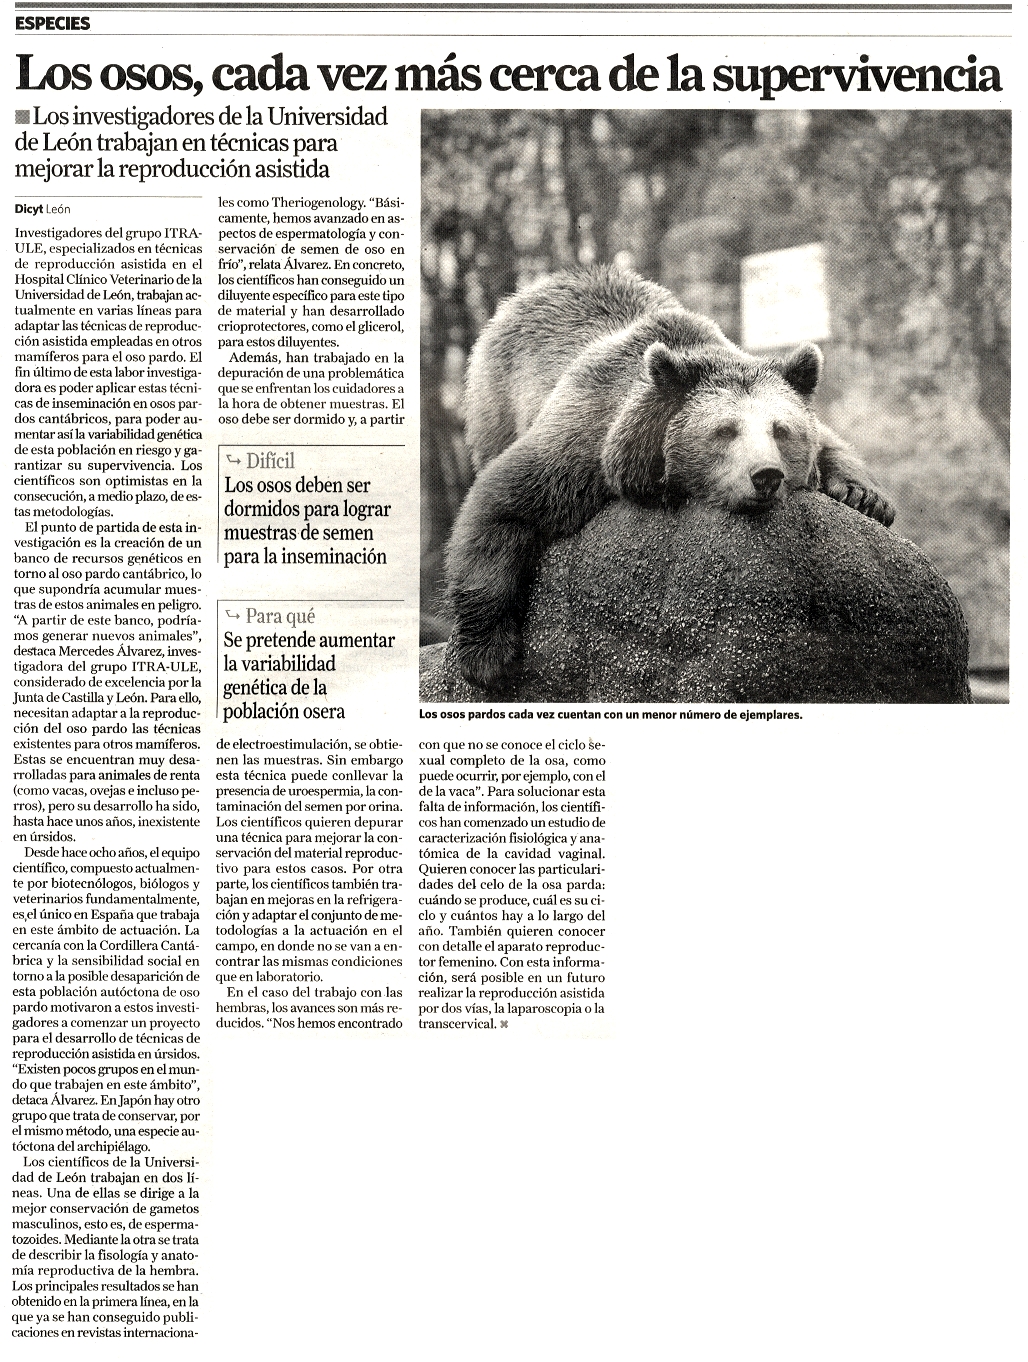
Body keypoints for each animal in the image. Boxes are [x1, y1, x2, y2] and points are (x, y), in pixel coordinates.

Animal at [446, 264, 894, 692]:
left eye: (780, 429)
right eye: (725, 430)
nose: (765, 476)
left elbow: (833, 445)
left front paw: (865, 497)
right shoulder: (585, 438)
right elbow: (503, 502)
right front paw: (488, 658)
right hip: (497, 399)